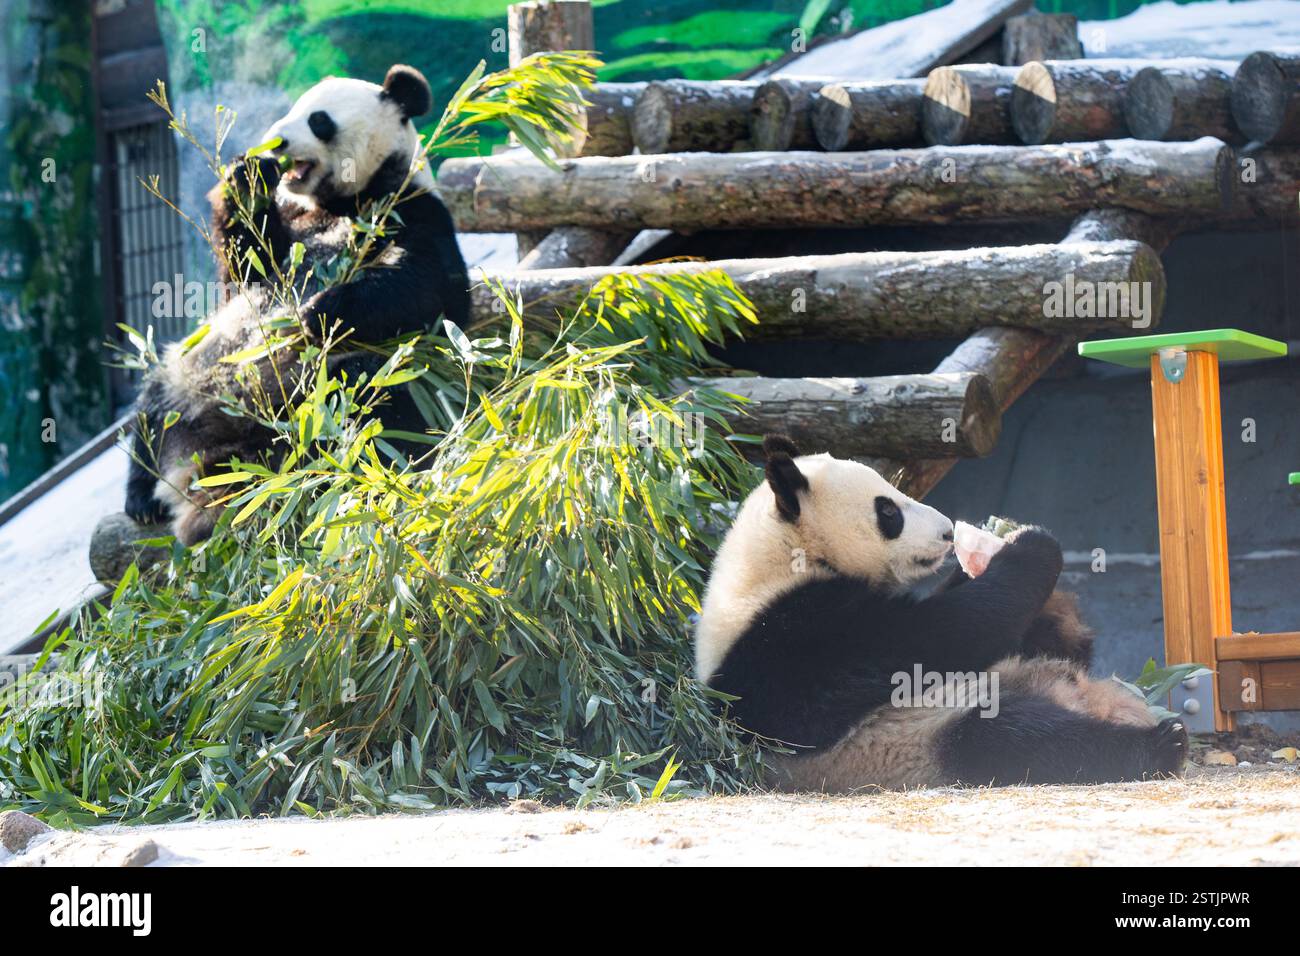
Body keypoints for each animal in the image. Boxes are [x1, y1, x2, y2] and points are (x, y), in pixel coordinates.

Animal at [124, 64, 470, 544]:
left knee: (368, 393)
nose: (275, 144)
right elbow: (245, 267)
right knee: (152, 405)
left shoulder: (411, 212)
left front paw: (317, 311)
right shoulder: (287, 233)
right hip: (187, 373)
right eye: (290, 109)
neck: (342, 201)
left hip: (328, 392)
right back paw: (143, 497)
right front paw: (248, 177)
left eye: (318, 120)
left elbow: (422, 287)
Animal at [695, 435, 1188, 791]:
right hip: (927, 737)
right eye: (888, 510)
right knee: (1023, 741)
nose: (949, 531)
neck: (782, 558)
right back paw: (1163, 744)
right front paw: (1031, 544)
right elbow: (937, 636)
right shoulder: (787, 641)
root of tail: (1077, 696)